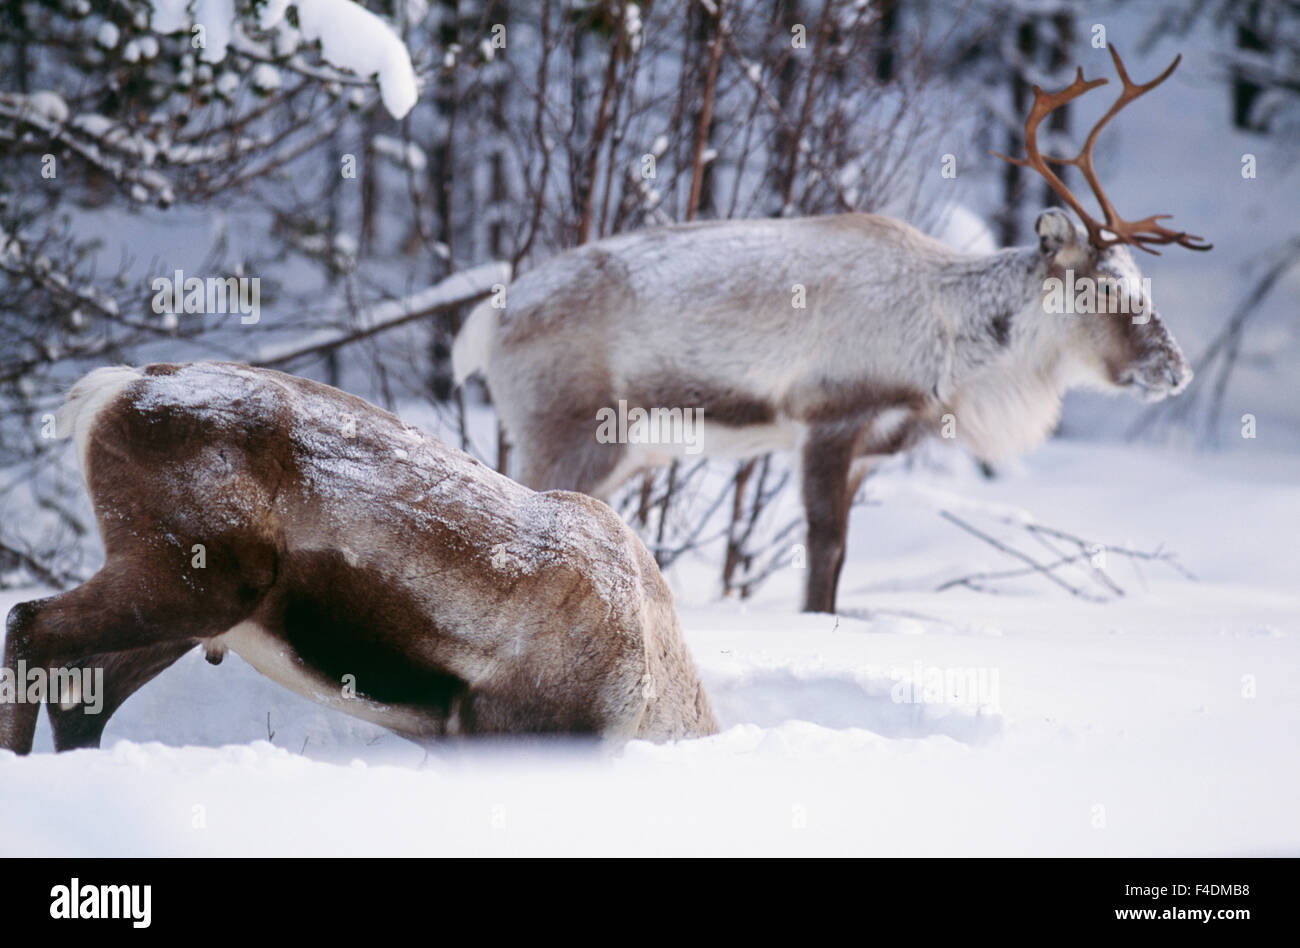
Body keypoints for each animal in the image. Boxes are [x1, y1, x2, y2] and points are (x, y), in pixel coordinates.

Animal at [0, 362, 718, 755]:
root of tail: (107, 393)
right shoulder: (507, 733)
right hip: (191, 575)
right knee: (30, 624)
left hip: (196, 608)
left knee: (80, 697)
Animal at [452, 46, 1210, 614]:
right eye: (1106, 286)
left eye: (1142, 280)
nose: (1175, 369)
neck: (951, 356)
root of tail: (486, 323)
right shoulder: (828, 416)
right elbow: (824, 552)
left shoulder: (874, 446)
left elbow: (843, 561)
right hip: (562, 427)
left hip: (624, 449)